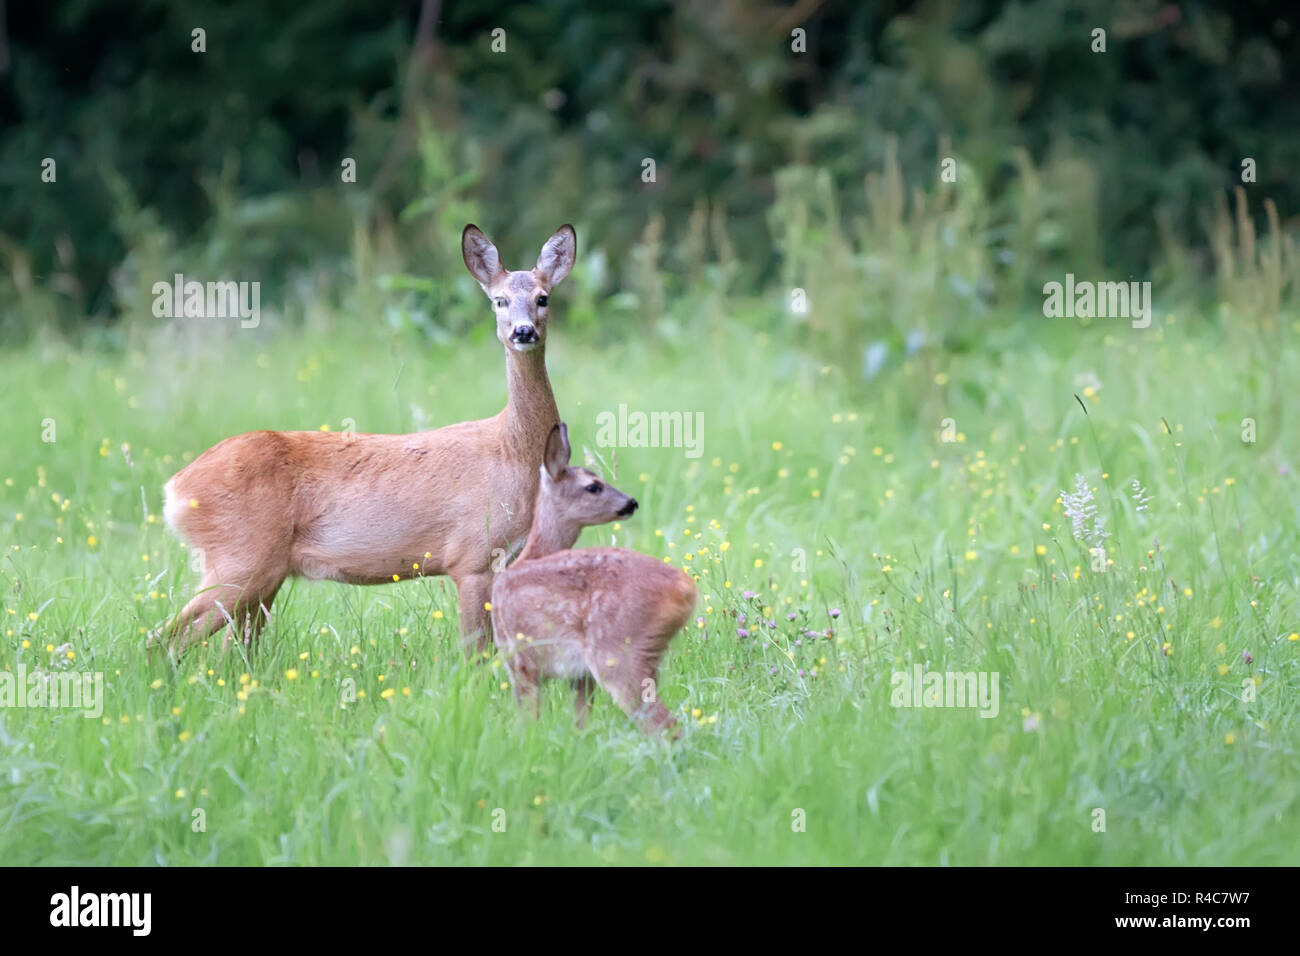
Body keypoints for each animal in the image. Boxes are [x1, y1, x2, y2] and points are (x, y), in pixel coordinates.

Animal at [155, 224, 574, 656]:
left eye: (543, 298)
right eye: (499, 300)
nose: (523, 331)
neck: (512, 450)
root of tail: (174, 489)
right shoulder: (472, 555)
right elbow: (476, 652)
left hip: (261, 575)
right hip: (238, 559)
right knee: (163, 639)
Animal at [490, 423, 697, 736]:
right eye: (593, 486)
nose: (631, 503)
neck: (529, 557)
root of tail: (685, 589)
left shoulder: (520, 659)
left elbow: (528, 722)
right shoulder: (580, 676)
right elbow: (581, 723)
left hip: (618, 650)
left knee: (666, 727)